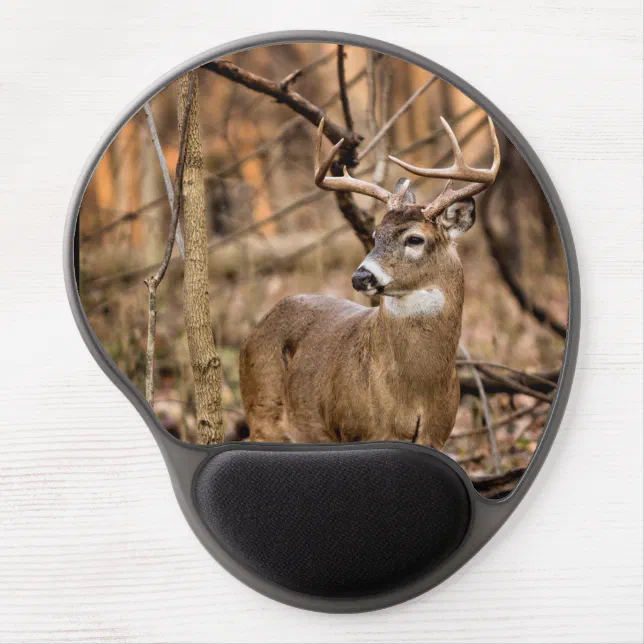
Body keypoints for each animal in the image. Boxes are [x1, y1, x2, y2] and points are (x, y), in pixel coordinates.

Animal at [239, 114, 500, 448]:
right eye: (375, 235)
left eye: (415, 239)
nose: (361, 276)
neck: (416, 391)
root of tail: (252, 333)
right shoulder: (354, 429)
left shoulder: (437, 435)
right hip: (262, 412)